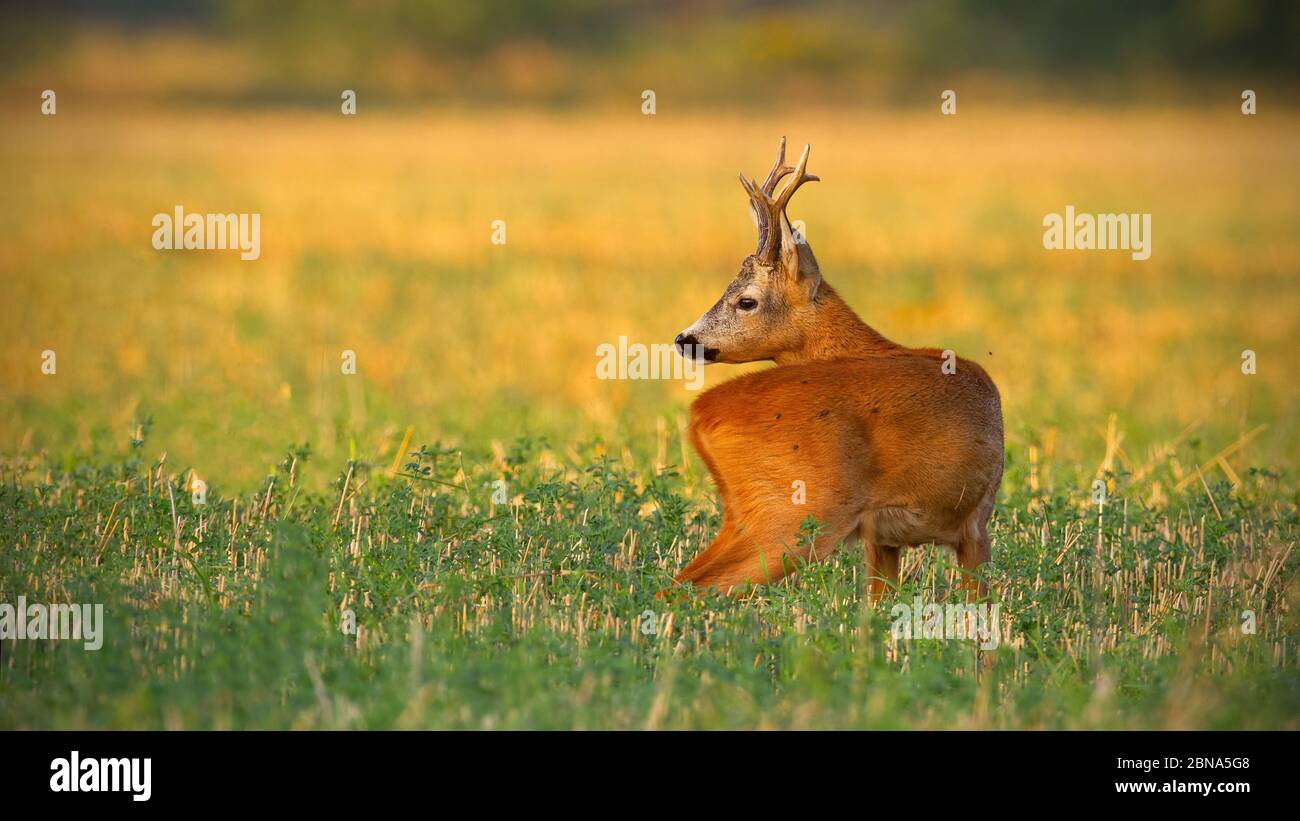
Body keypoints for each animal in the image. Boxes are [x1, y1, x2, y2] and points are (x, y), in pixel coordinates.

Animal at [668, 138, 1004, 602]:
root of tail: (700, 415)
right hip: (800, 512)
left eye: (746, 300)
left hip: (746, 513)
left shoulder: (883, 540)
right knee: (689, 587)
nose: (685, 339)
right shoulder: (975, 524)